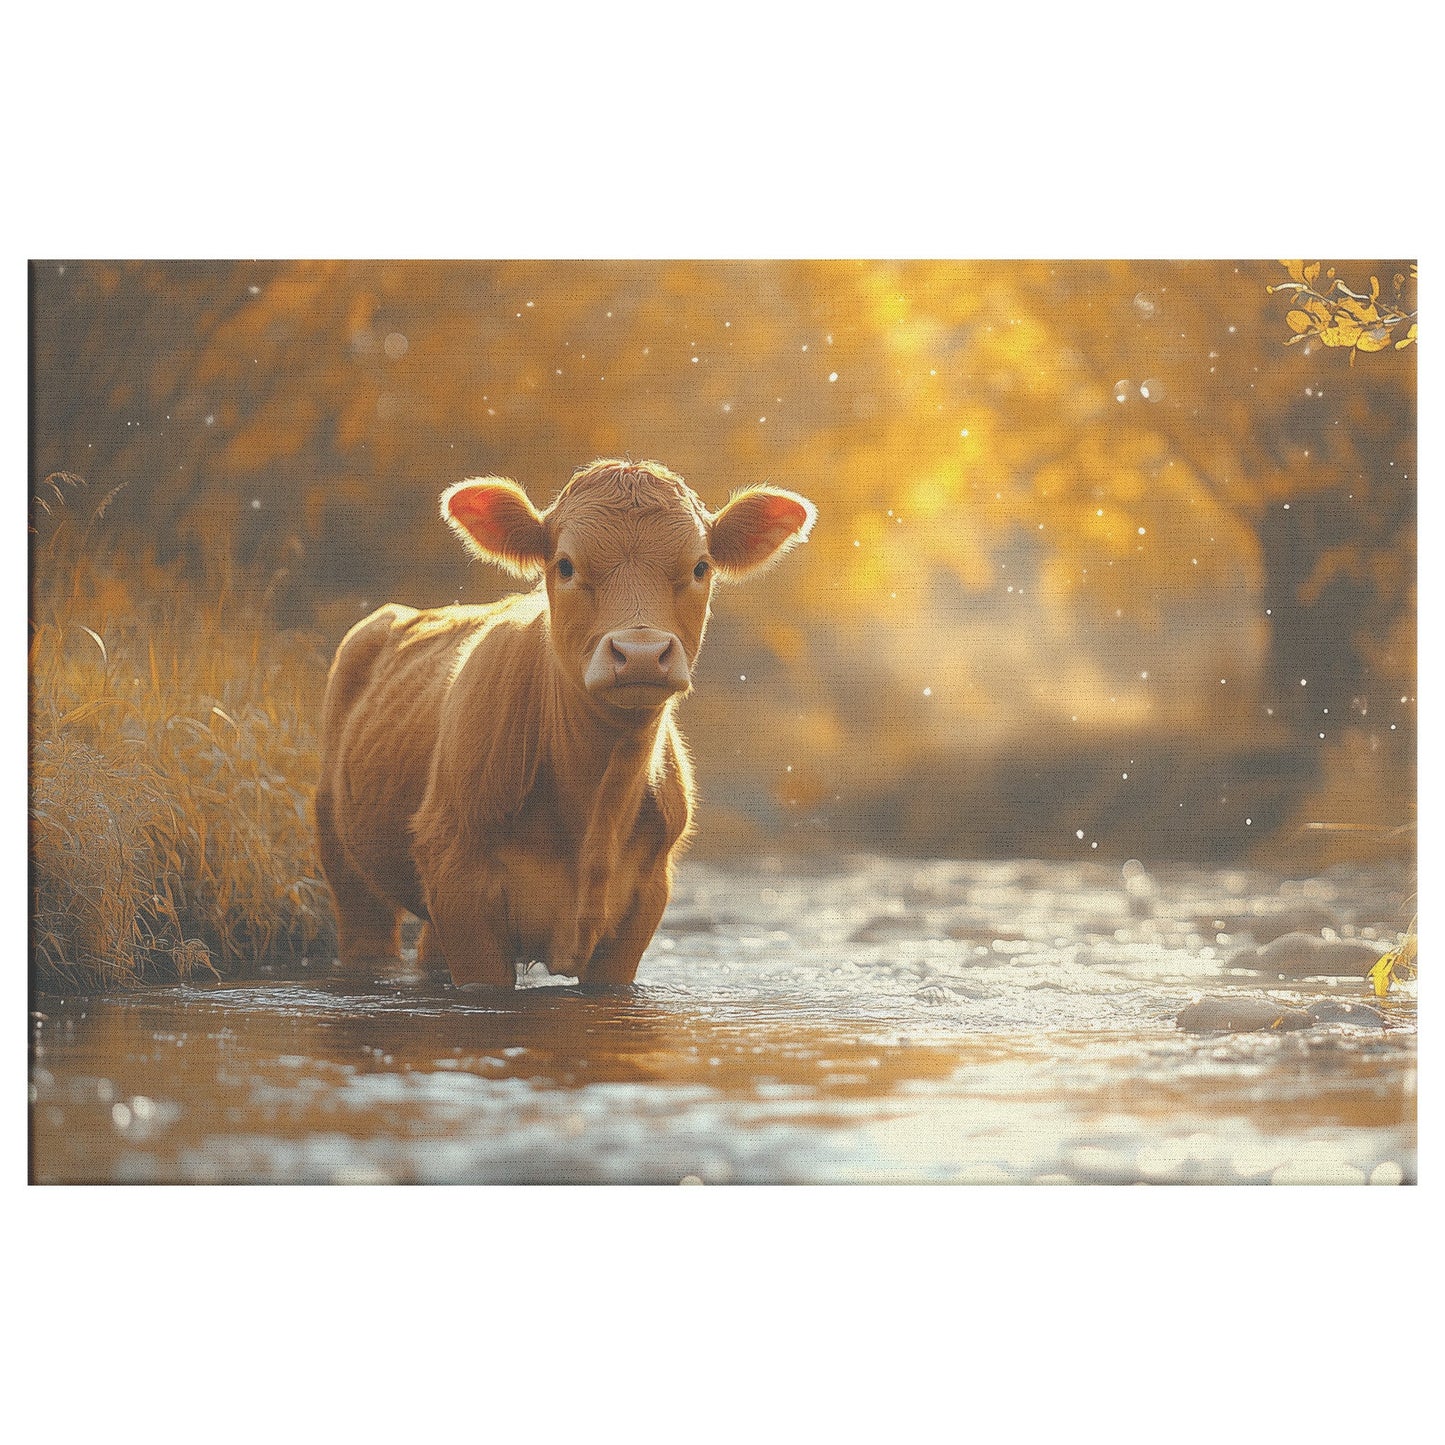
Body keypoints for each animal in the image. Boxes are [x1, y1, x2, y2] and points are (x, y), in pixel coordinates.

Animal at [315, 458, 817, 989]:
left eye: (700, 566)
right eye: (566, 565)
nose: (641, 653)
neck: (594, 808)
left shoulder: (641, 906)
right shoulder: (462, 888)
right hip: (345, 862)